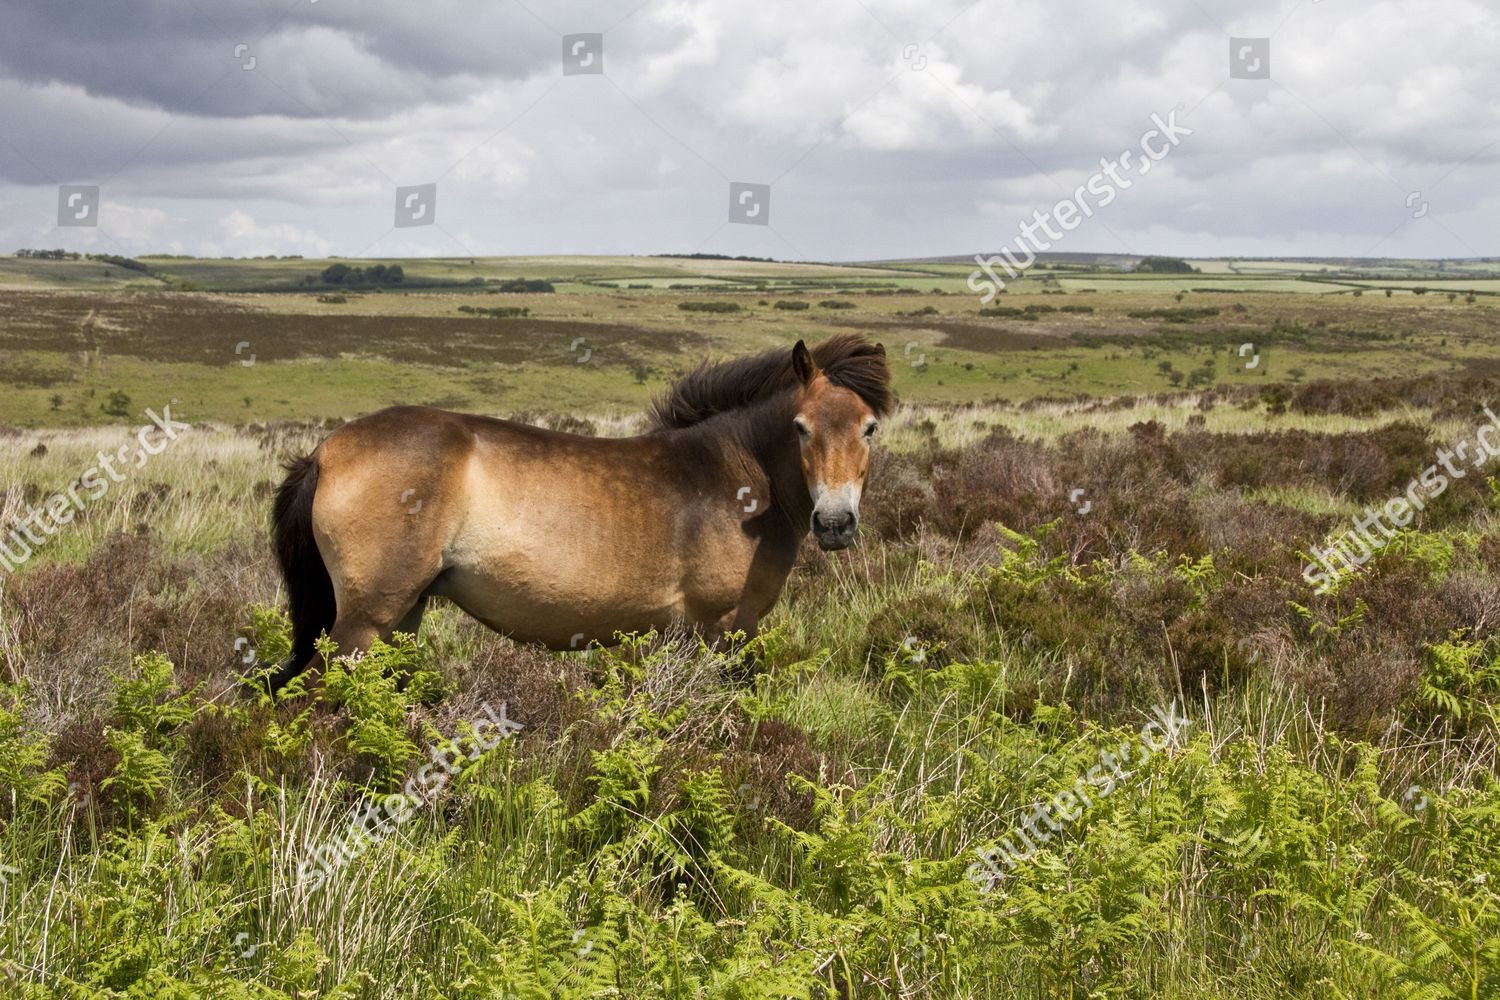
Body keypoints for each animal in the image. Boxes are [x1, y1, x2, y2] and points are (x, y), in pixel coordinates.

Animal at [263, 333, 894, 692]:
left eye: (869, 428)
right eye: (800, 427)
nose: (834, 524)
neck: (731, 477)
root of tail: (324, 453)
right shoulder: (723, 630)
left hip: (401, 617)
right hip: (364, 623)